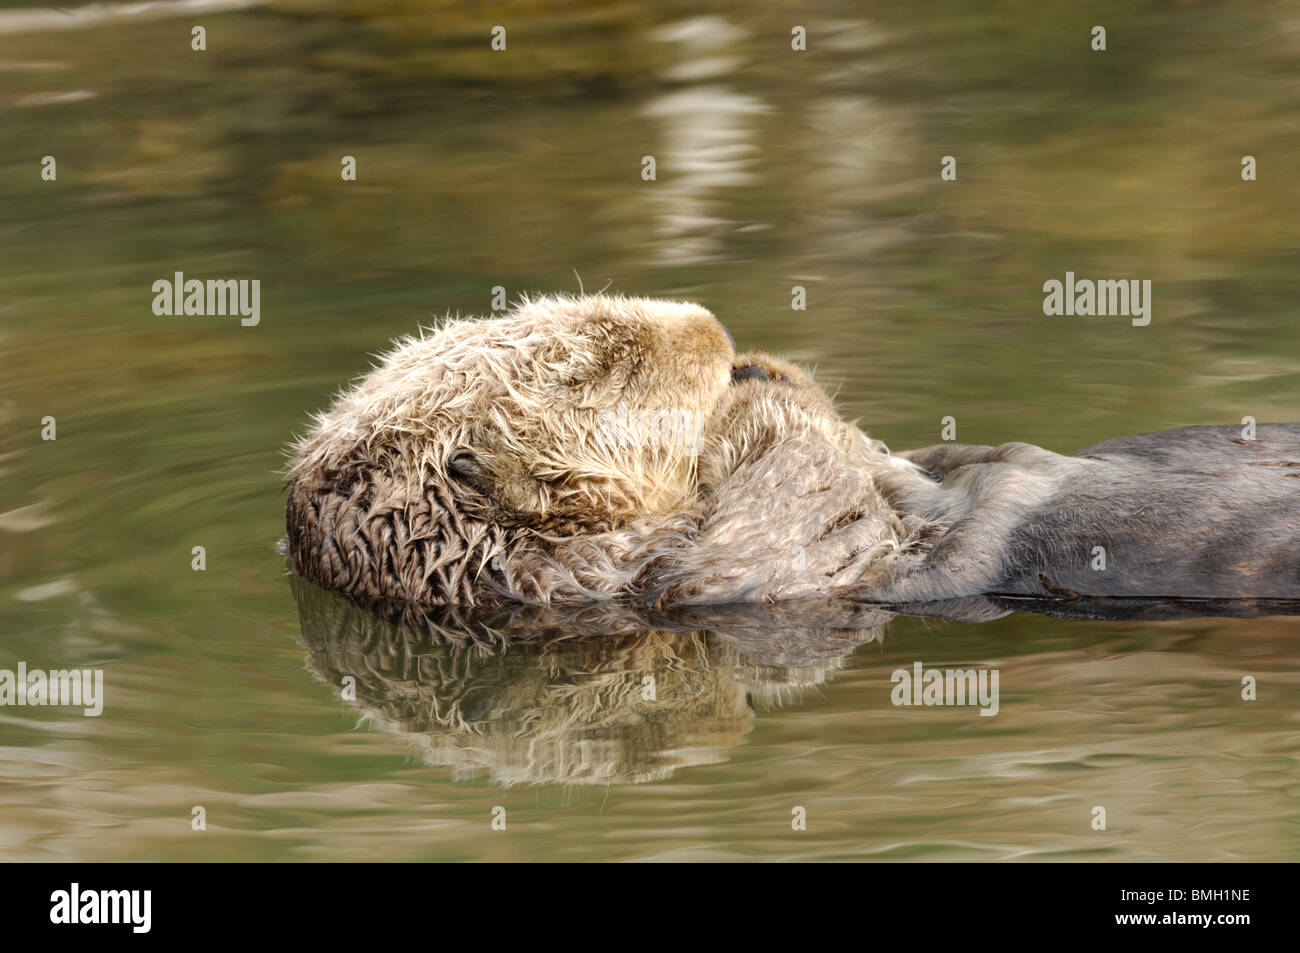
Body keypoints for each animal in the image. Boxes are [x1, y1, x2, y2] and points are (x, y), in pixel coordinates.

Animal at [286, 294, 1300, 610]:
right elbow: (798, 499)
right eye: (598, 364)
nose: (713, 325)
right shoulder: (709, 576)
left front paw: (766, 370)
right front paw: (758, 393)